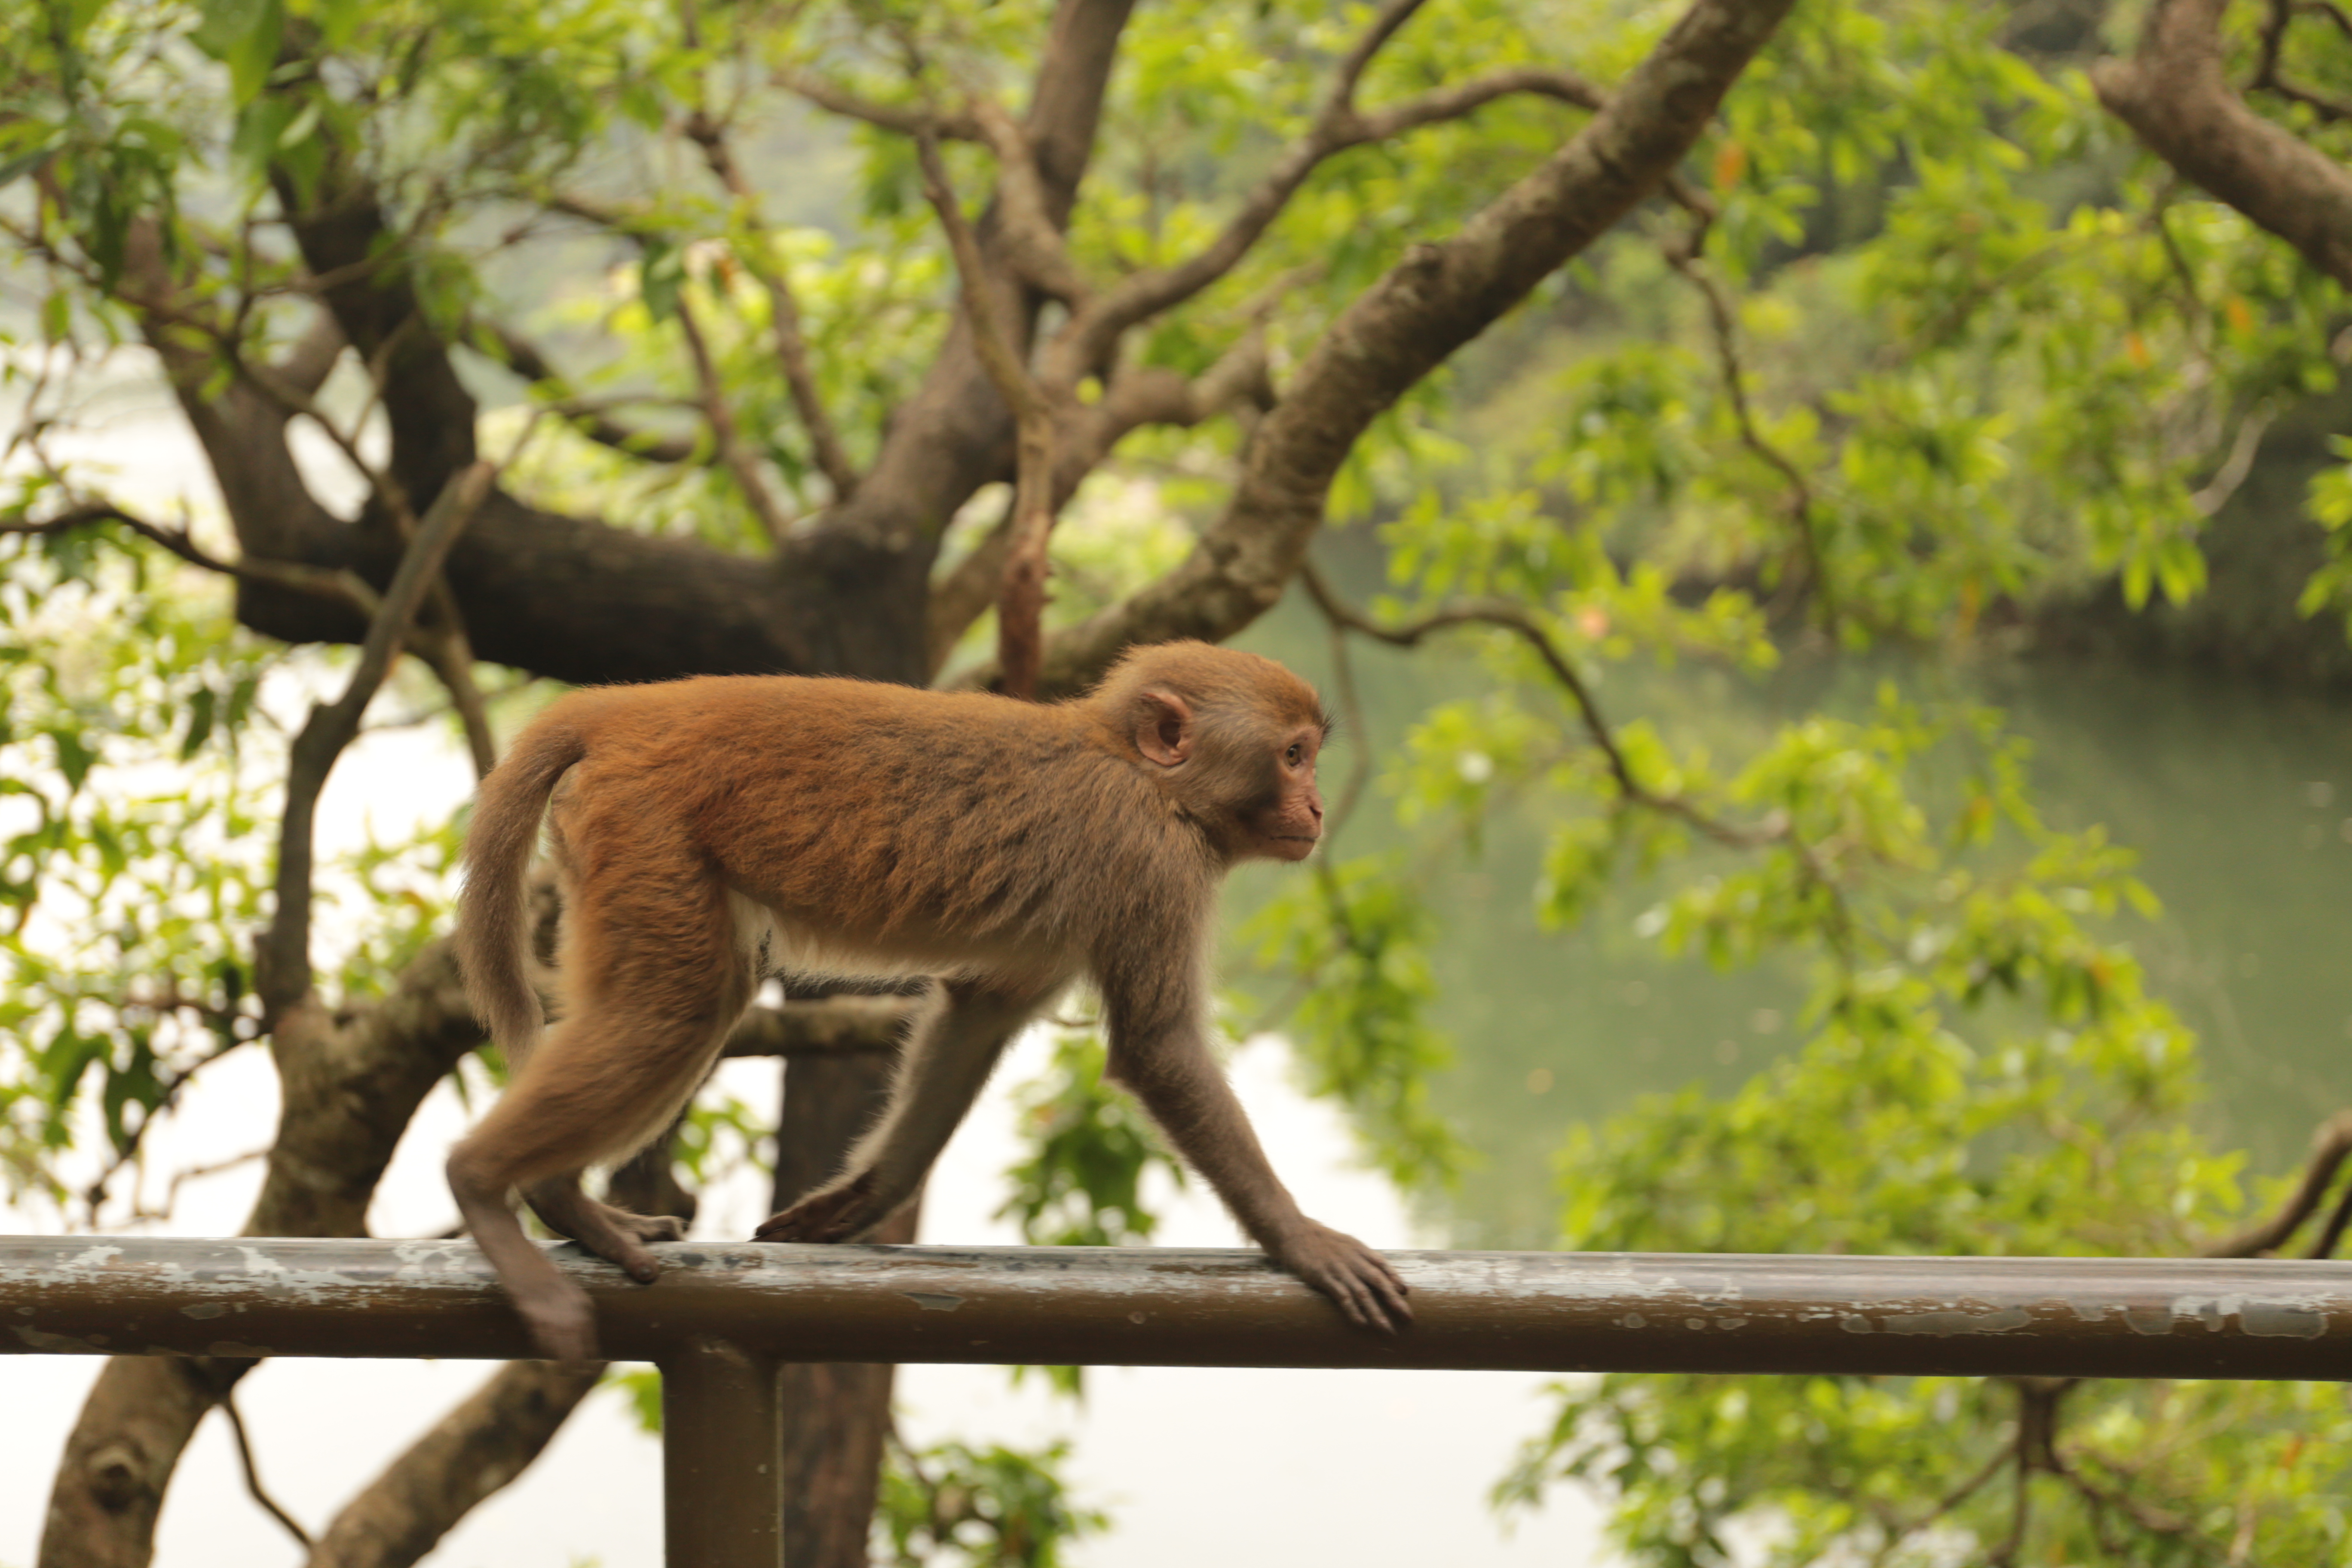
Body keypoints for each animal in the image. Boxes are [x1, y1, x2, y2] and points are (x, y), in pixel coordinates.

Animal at [450, 640, 1412, 1362]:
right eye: (1292, 756)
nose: (1316, 809)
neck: (1142, 775)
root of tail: (624, 709)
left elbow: (980, 1011)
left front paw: (862, 1197)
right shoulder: (1151, 865)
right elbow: (1160, 1050)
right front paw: (1301, 1238)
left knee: (695, 999)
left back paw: (560, 1197)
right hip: (649, 827)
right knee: (670, 1014)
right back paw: (487, 1186)